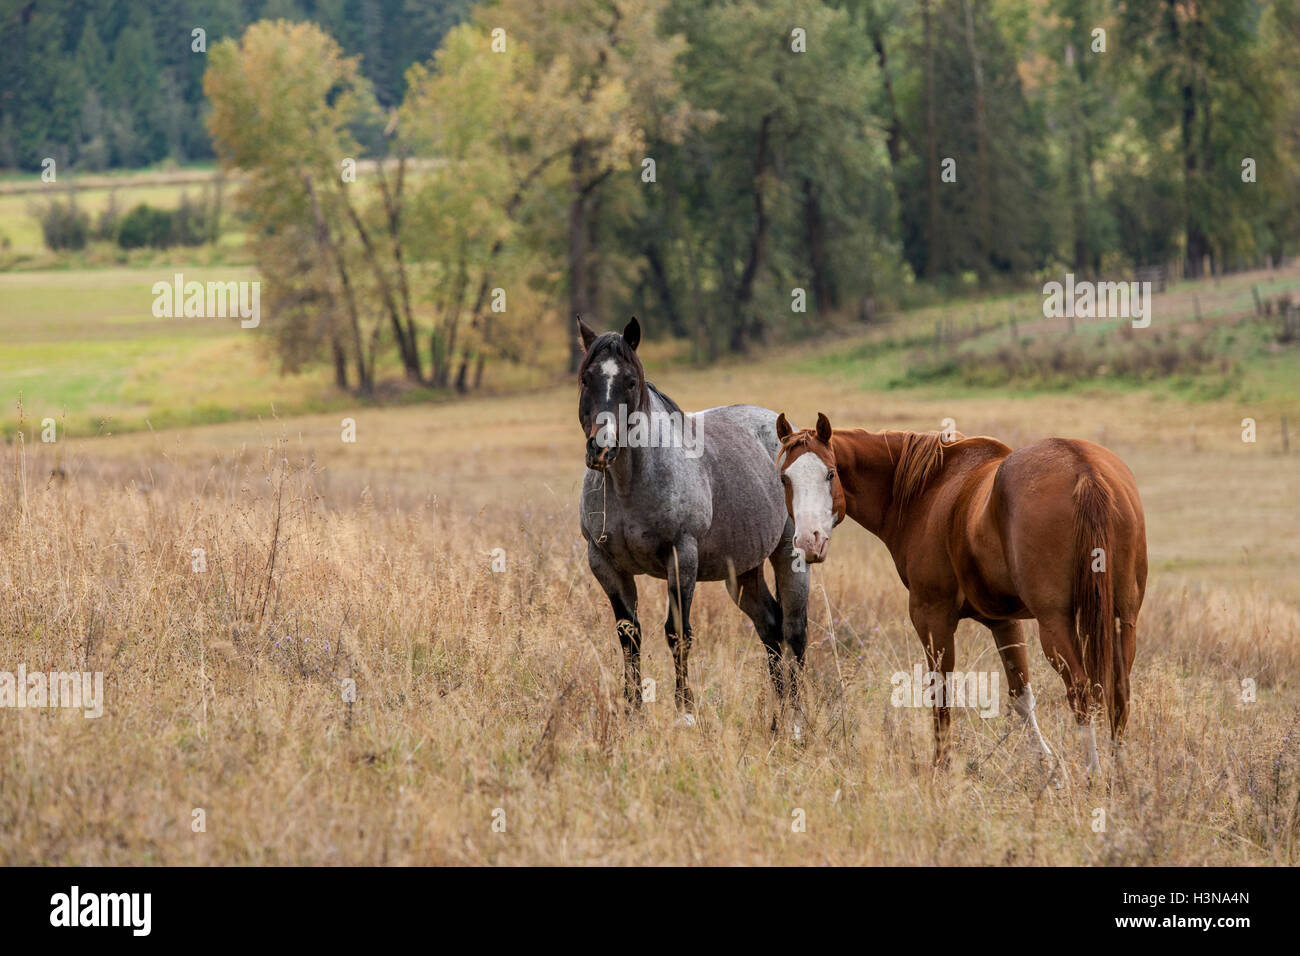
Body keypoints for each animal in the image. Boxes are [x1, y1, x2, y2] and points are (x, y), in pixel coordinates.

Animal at [576, 317, 809, 729]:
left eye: (630, 382)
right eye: (586, 378)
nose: (601, 448)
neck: (627, 483)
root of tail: (784, 428)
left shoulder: (681, 557)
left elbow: (677, 634)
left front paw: (684, 711)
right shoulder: (605, 564)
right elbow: (629, 637)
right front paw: (632, 712)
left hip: (789, 554)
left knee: (794, 631)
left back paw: (795, 720)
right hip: (743, 571)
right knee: (770, 627)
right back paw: (778, 716)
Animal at [775, 412, 1147, 776]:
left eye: (830, 473)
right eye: (784, 479)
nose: (809, 541)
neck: (927, 489)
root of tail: (1084, 469)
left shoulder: (931, 617)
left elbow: (940, 694)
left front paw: (941, 767)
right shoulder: (1004, 621)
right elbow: (1020, 695)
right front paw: (1046, 764)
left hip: (1054, 625)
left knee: (1081, 691)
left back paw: (1094, 773)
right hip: (1122, 621)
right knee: (1118, 692)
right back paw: (1119, 774)